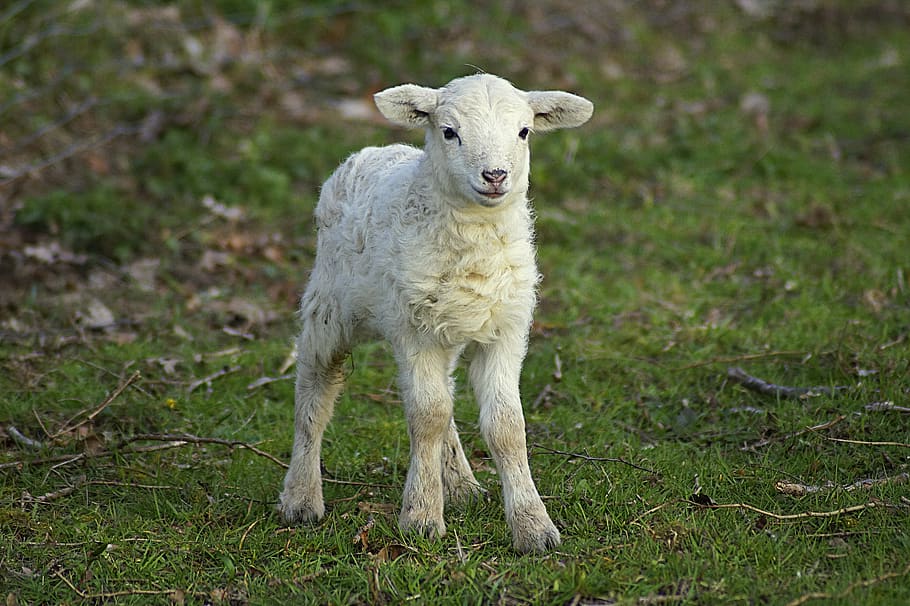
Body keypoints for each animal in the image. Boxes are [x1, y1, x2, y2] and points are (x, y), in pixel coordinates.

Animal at [277, 73, 593, 553]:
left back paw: (460, 484)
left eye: (524, 132)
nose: (495, 175)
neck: (475, 236)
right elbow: (426, 417)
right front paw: (422, 517)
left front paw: (533, 527)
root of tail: (374, 150)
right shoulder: (414, 332)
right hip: (328, 305)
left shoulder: (505, 329)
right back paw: (300, 498)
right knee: (314, 391)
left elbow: (506, 426)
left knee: (444, 392)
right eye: (449, 132)